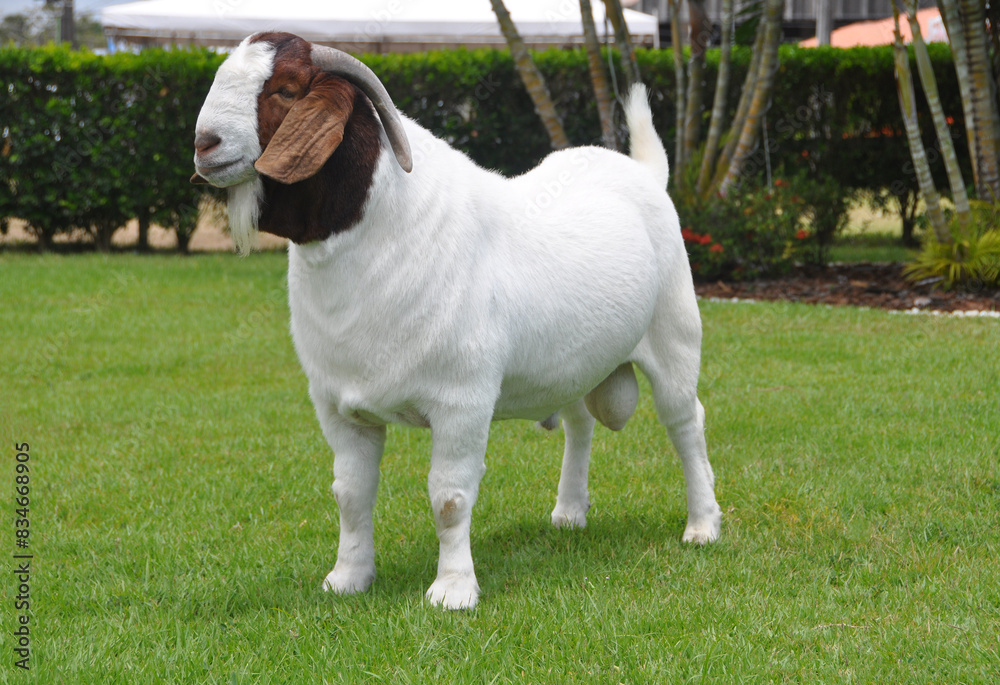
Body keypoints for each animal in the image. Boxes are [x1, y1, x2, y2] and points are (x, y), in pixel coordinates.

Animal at [192, 32, 722, 610]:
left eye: (286, 90)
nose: (205, 144)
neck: (384, 230)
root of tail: (645, 174)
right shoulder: (338, 408)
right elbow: (351, 494)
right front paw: (347, 579)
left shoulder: (461, 402)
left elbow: (449, 496)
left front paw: (452, 591)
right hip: (575, 364)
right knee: (579, 423)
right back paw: (568, 513)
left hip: (675, 336)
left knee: (685, 422)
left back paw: (702, 526)